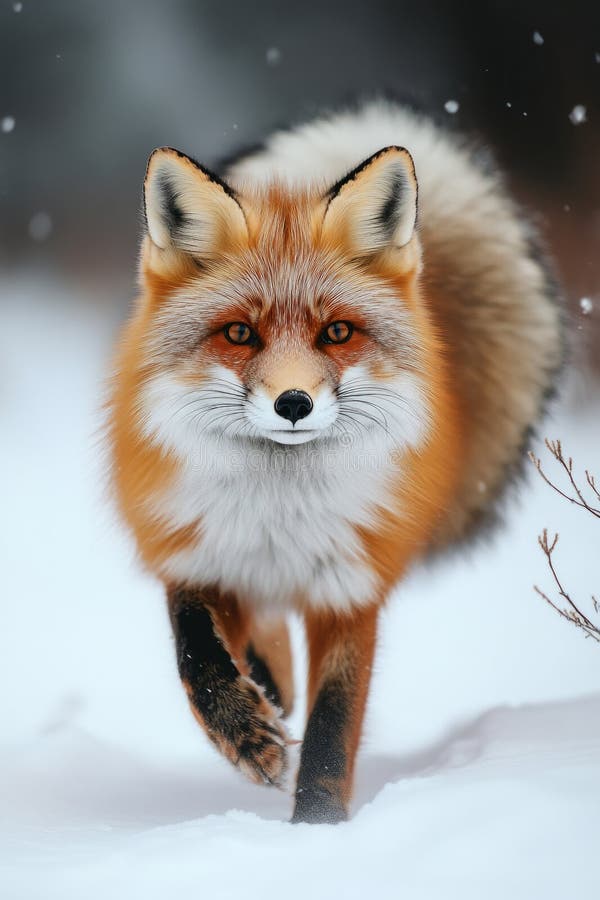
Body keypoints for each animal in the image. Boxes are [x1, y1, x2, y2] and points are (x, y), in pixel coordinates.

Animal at [108, 100, 564, 824]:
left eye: (338, 332)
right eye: (240, 333)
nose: (293, 403)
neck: (280, 515)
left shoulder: (350, 586)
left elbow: (332, 725)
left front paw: (317, 829)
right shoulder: (193, 549)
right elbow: (197, 656)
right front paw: (245, 734)